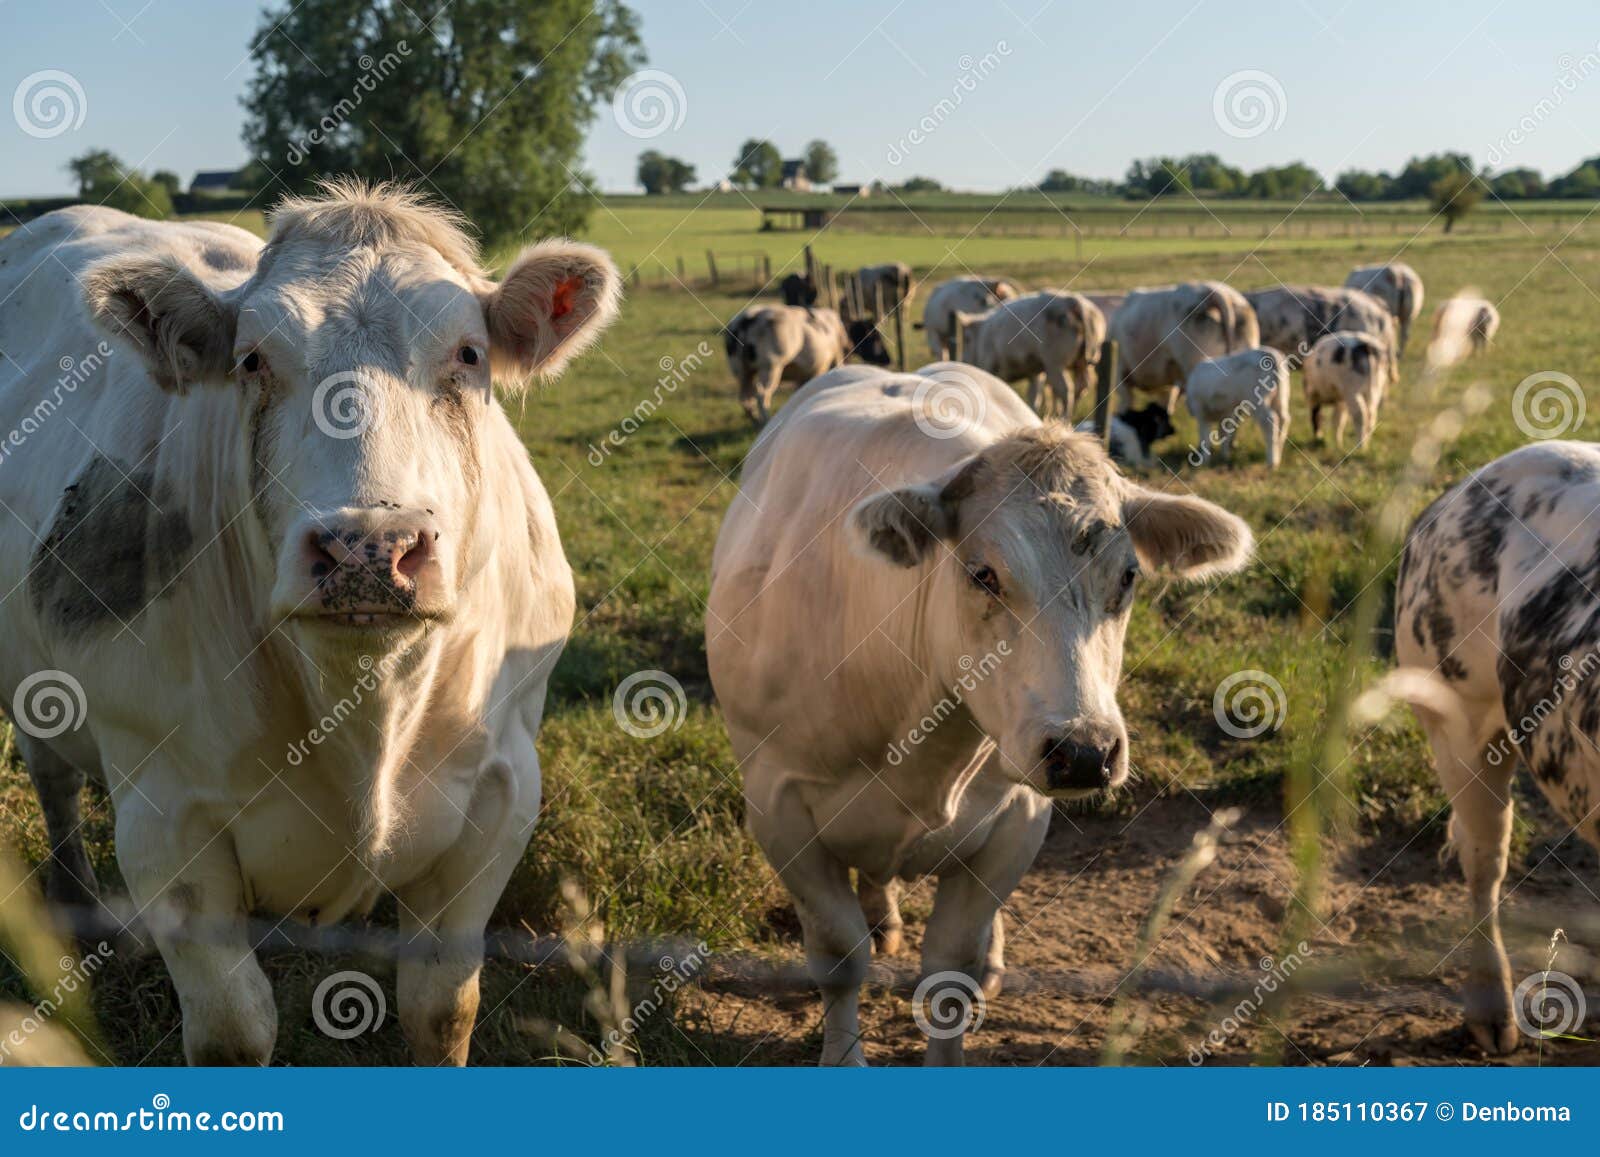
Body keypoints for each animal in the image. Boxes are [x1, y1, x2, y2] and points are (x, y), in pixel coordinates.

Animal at [0, 181, 620, 1065]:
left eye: (468, 354)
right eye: (253, 360)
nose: (370, 547)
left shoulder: (500, 799)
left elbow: (442, 1009)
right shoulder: (163, 817)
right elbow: (233, 1030)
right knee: (52, 780)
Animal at [705, 360, 1253, 1065]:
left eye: (1128, 577)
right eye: (983, 574)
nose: (1085, 752)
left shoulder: (1019, 818)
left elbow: (951, 971)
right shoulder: (778, 807)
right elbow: (838, 957)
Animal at [723, 304, 891, 424]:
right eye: (875, 337)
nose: (888, 359)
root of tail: (746, 320)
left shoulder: (802, 375)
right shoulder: (833, 362)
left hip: (741, 370)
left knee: (745, 397)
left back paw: (755, 421)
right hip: (771, 366)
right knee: (761, 395)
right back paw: (765, 421)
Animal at [952, 290, 1106, 418]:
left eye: (966, 339)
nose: (961, 360)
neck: (981, 336)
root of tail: (1074, 302)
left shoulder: (989, 363)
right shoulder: (1035, 372)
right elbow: (1033, 396)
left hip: (1055, 361)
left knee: (1066, 389)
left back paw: (1063, 419)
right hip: (1085, 360)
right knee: (1082, 386)